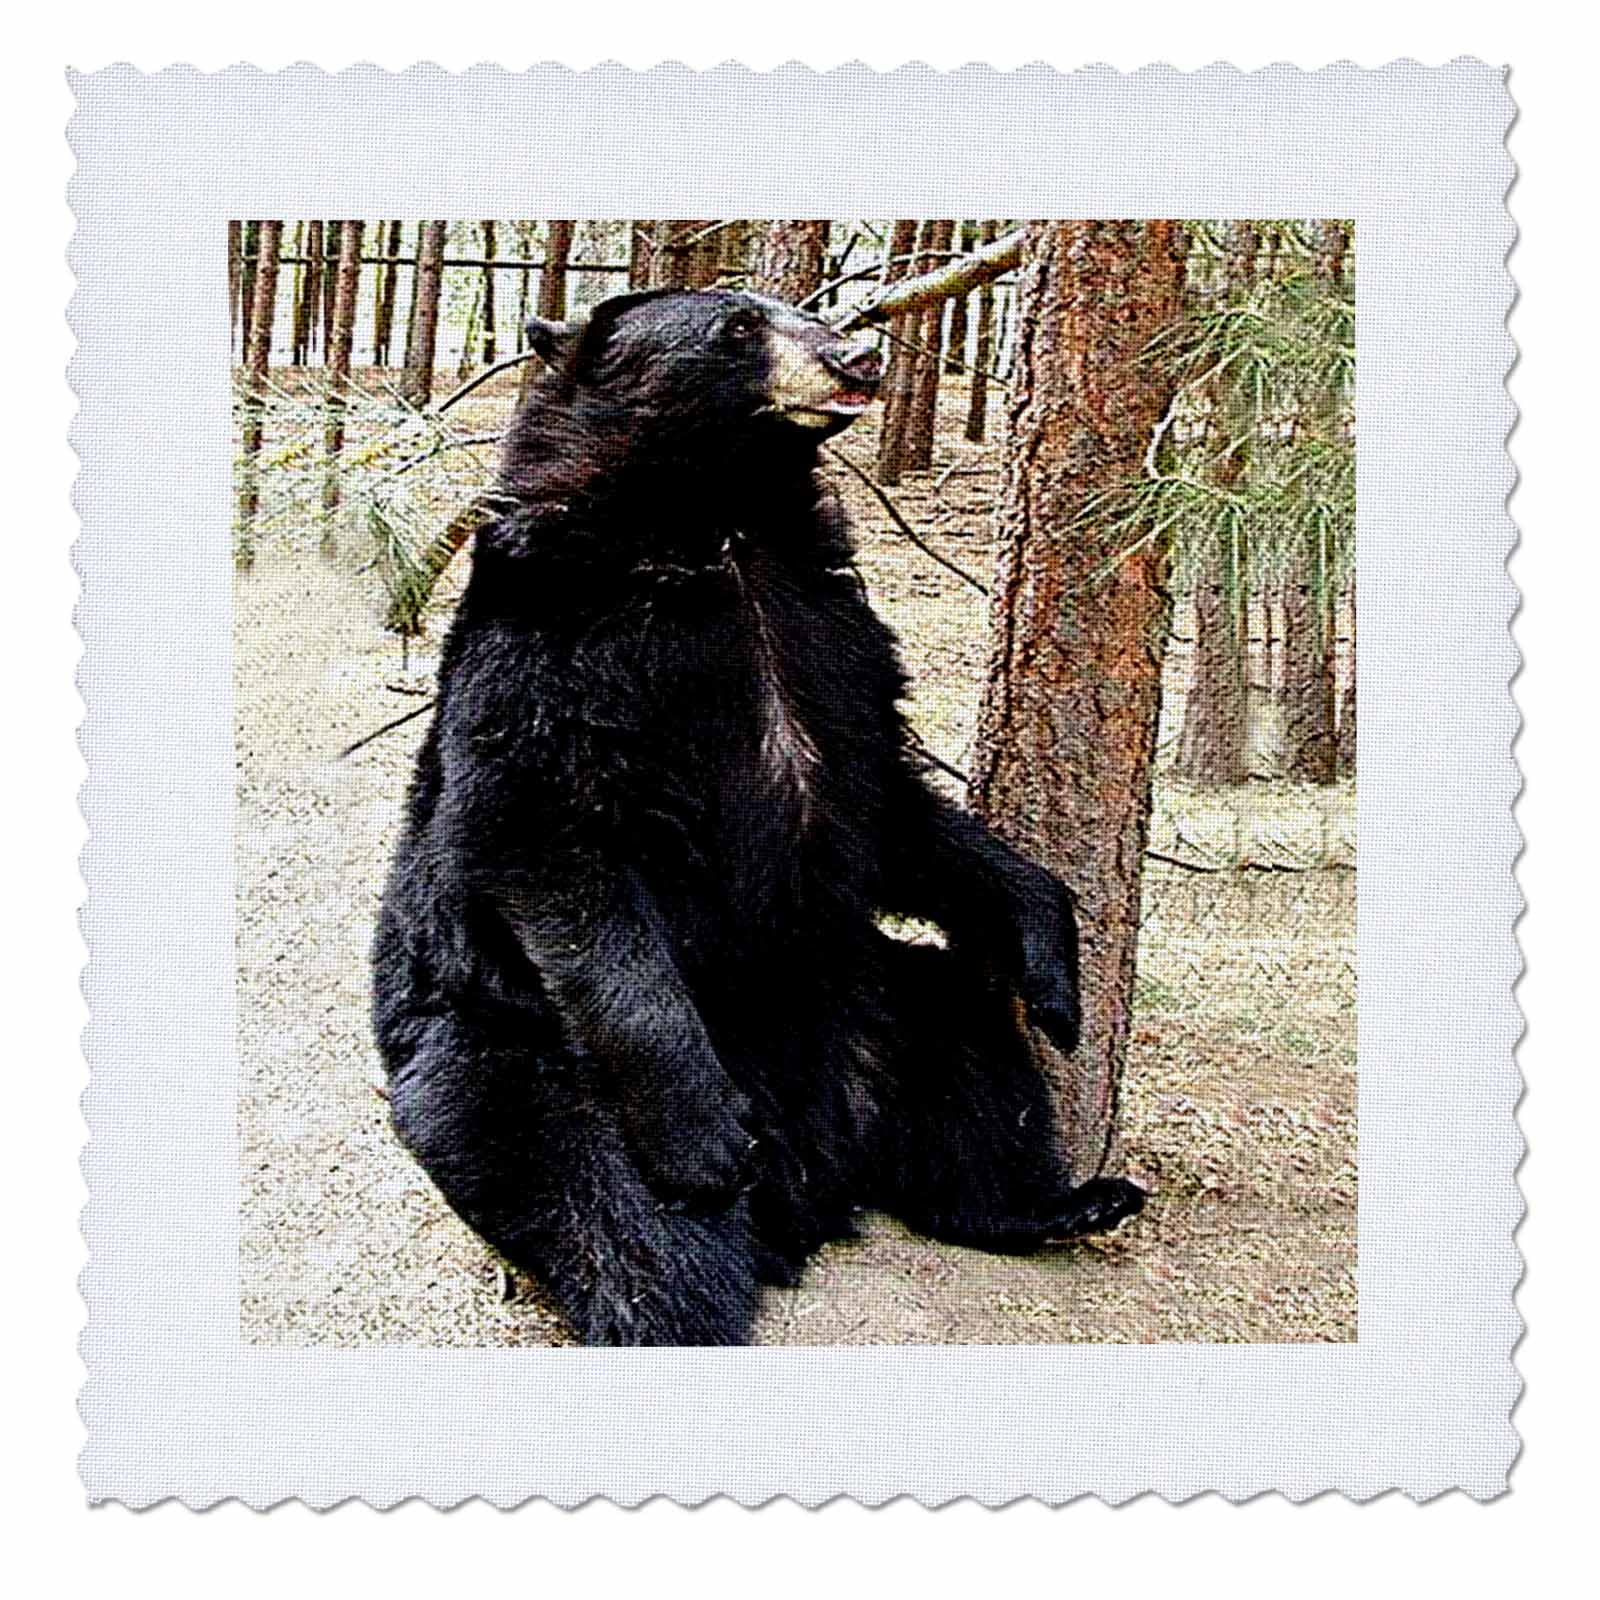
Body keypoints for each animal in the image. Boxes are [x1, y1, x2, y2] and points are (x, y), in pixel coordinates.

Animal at [371, 286, 1144, 1346]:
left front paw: (1052, 962)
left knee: (973, 1056)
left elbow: (890, 800)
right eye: (737, 327)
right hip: (519, 1061)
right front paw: (702, 1131)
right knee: (619, 1220)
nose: (861, 356)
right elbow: (546, 832)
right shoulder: (552, 639)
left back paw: (1060, 1200)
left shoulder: (830, 633)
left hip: (880, 994)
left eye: (806, 308)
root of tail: (818, 1187)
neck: (719, 517)